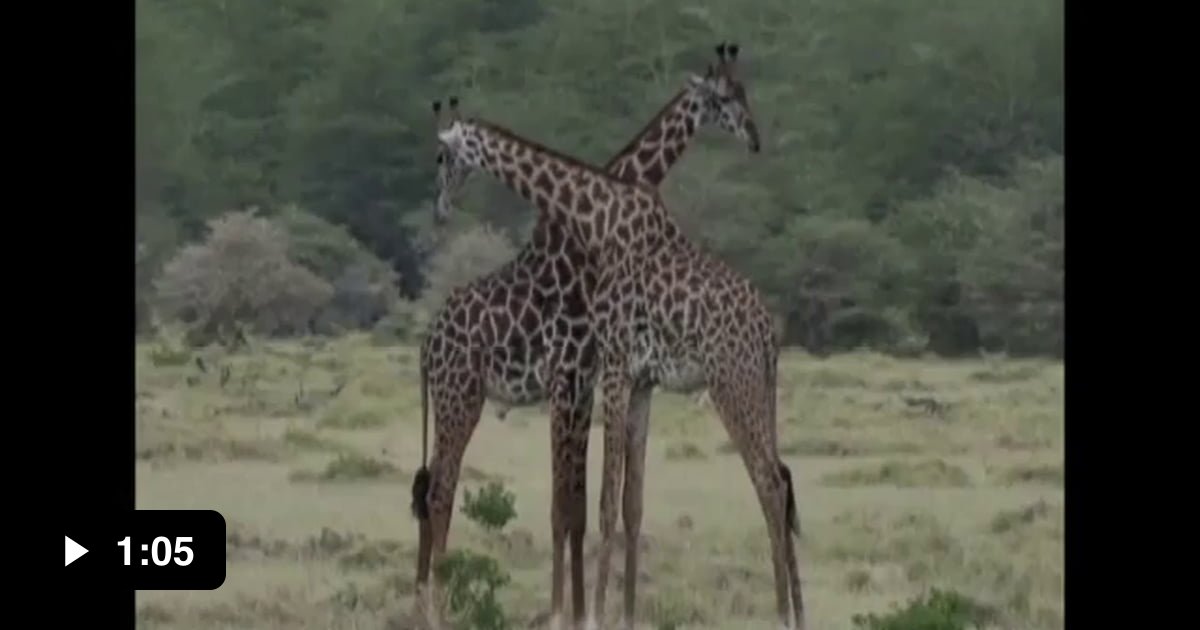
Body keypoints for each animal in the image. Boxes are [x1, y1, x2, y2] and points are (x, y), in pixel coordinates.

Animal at [429, 50, 804, 630]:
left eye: (444, 157)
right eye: (725, 97)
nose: (755, 138)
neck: (599, 214)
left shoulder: (600, 371)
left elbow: (598, 505)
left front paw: (590, 612)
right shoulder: (610, 376)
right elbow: (606, 505)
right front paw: (593, 612)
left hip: (732, 383)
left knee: (772, 480)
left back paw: (785, 613)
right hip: (462, 398)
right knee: (437, 491)